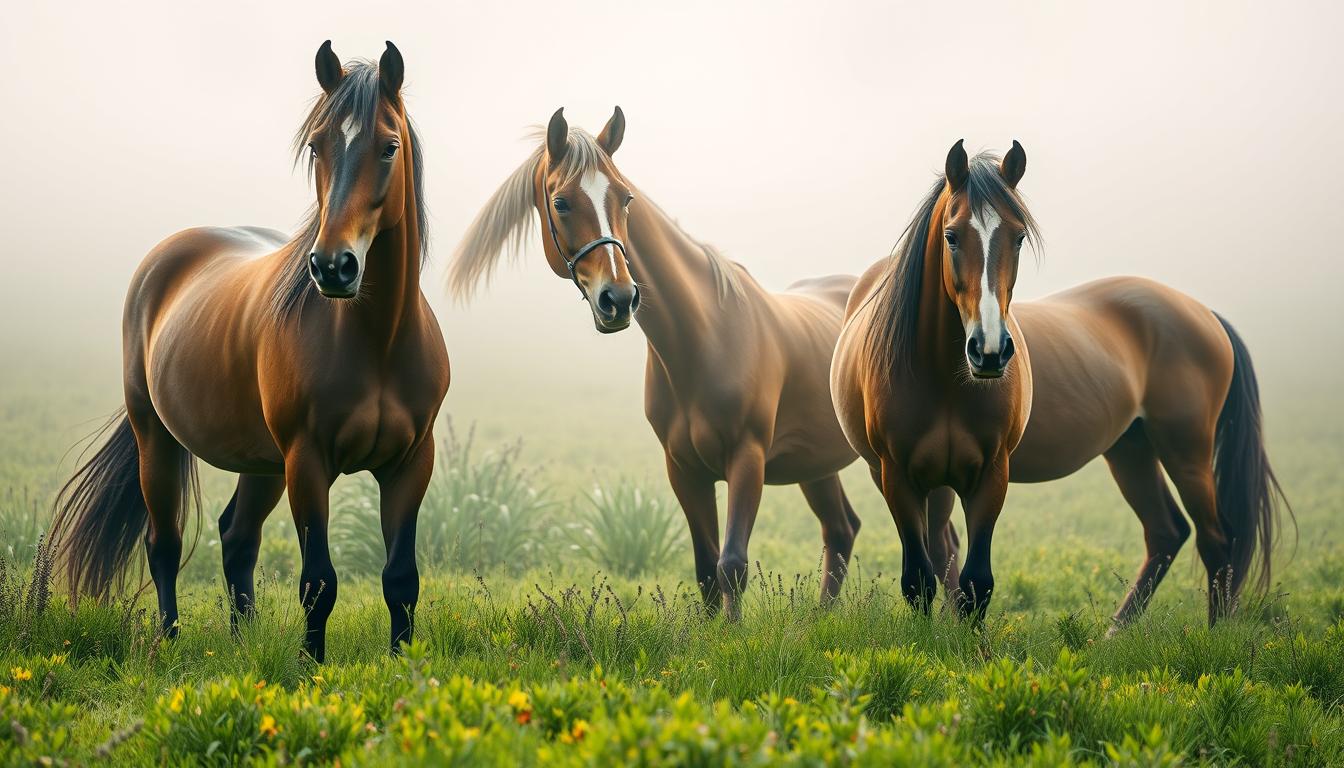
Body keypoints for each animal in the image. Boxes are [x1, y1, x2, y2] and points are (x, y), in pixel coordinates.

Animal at [48, 42, 449, 662]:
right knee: (164, 543)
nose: (333, 267)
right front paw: (312, 668)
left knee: (237, 537)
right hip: (157, 438)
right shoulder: (308, 461)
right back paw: (169, 641)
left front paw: (403, 664)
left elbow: (401, 580)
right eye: (317, 145)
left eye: (389, 146)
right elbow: (318, 581)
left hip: (262, 463)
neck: (377, 341)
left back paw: (241, 641)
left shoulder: (410, 463)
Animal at [448, 107, 904, 619]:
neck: (705, 340)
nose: (618, 298)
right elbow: (706, 570)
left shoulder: (747, 459)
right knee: (842, 530)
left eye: (625, 197)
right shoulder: (684, 470)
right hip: (817, 464)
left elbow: (732, 565)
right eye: (561, 203)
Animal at [831, 139, 1288, 627]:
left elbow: (977, 582)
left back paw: (1212, 632)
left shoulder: (992, 473)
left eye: (1018, 237)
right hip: (1130, 448)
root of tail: (1203, 313)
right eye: (951, 236)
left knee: (1215, 540)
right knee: (1168, 532)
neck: (946, 380)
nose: (989, 350)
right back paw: (1115, 633)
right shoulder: (898, 475)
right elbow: (920, 579)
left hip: (1186, 452)